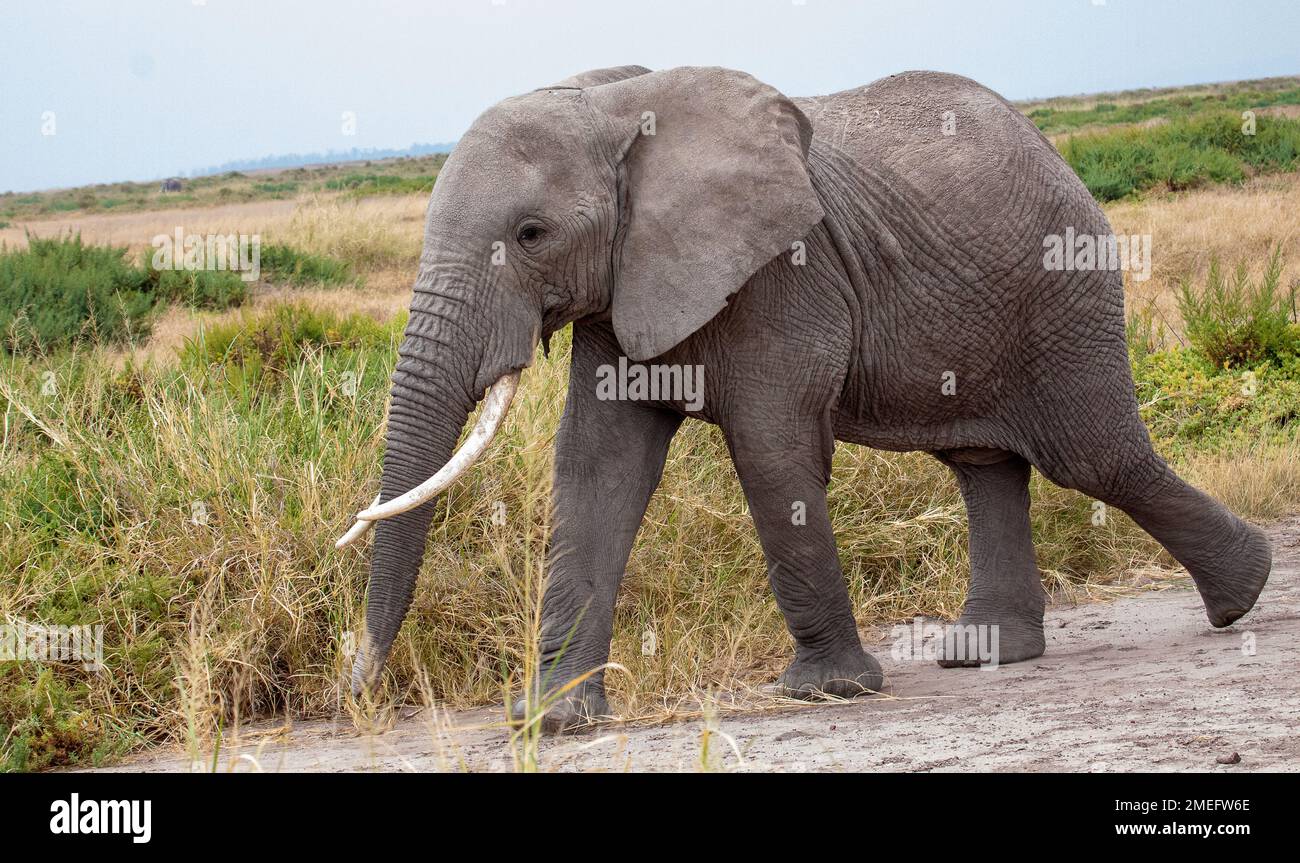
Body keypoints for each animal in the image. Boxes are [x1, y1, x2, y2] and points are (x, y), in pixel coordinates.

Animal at [336, 65, 1273, 733]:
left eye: (531, 234)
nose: (356, 686)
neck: (614, 105)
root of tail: (1055, 151)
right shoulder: (624, 288)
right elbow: (598, 470)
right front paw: (551, 720)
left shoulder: (787, 274)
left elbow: (772, 450)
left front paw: (829, 691)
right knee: (985, 463)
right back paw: (987, 654)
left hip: (1065, 291)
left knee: (1095, 457)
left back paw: (1246, 594)